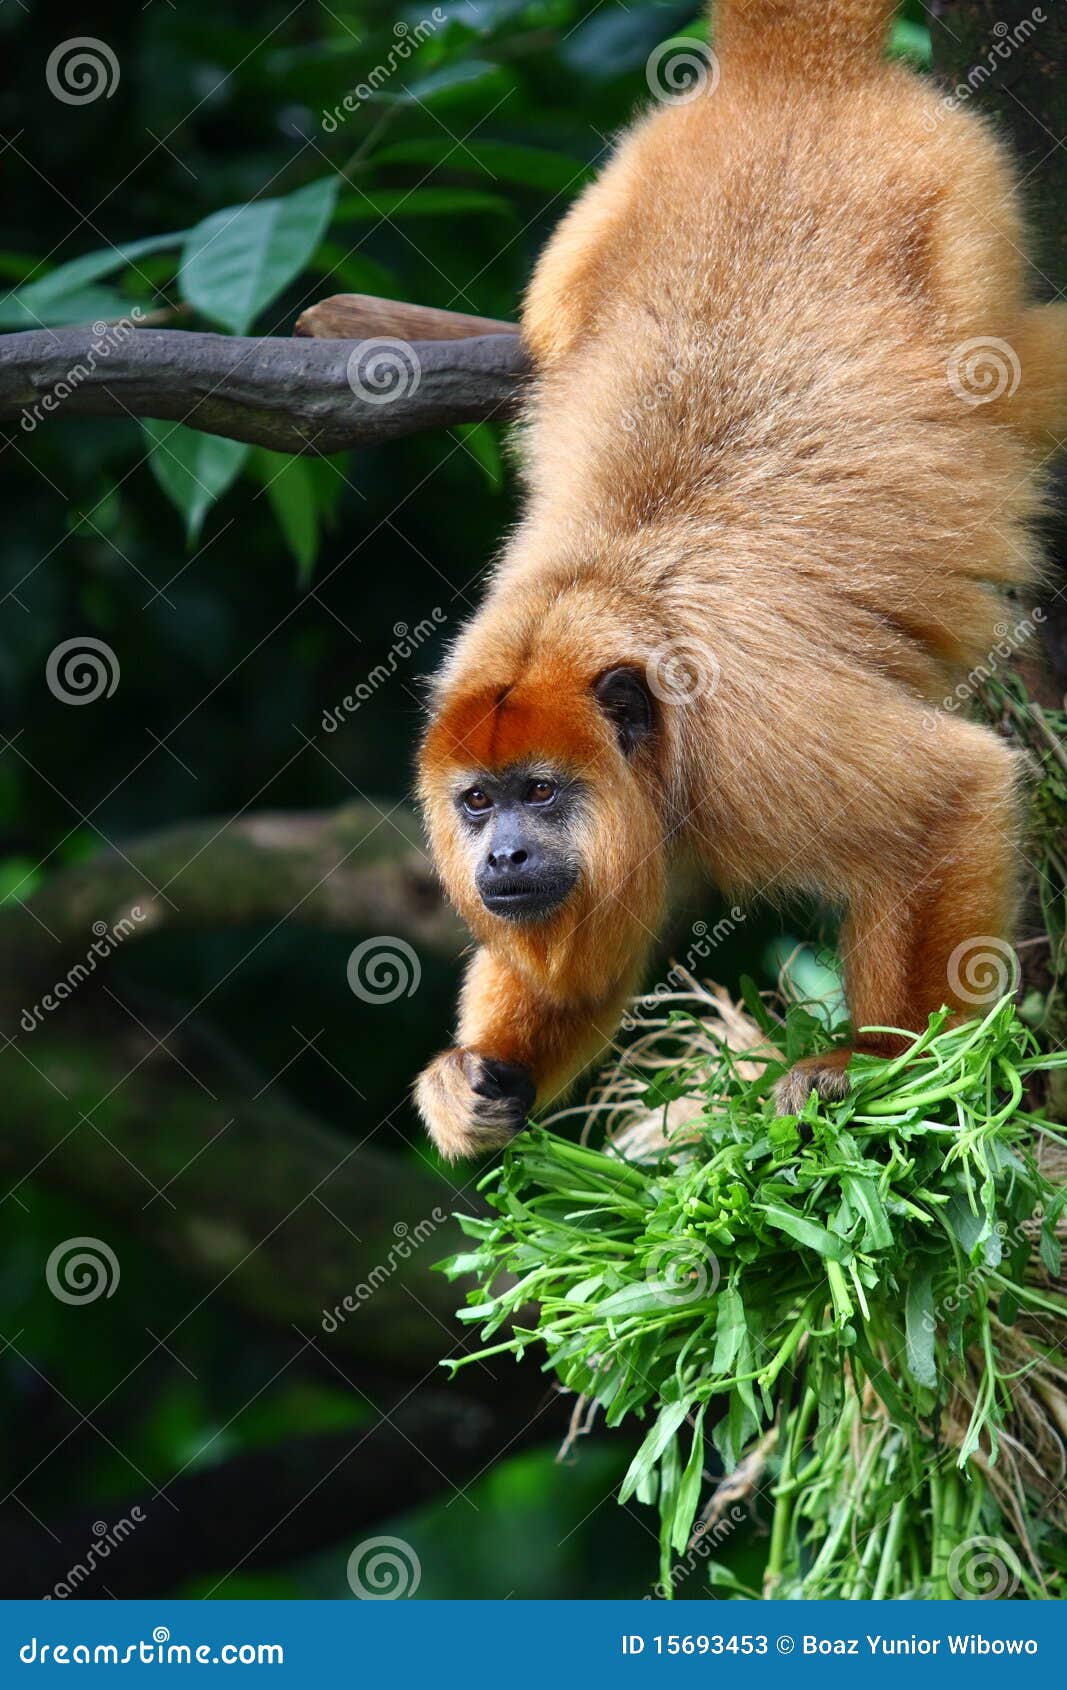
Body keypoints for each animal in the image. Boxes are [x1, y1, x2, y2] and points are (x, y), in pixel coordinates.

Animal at [415, 0, 1067, 1161]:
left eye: (539, 792)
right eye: (476, 802)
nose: (502, 859)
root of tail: (792, 78)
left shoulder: (749, 743)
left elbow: (950, 794)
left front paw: (885, 1073)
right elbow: (578, 983)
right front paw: (467, 1079)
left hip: (953, 204)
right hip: (604, 206)